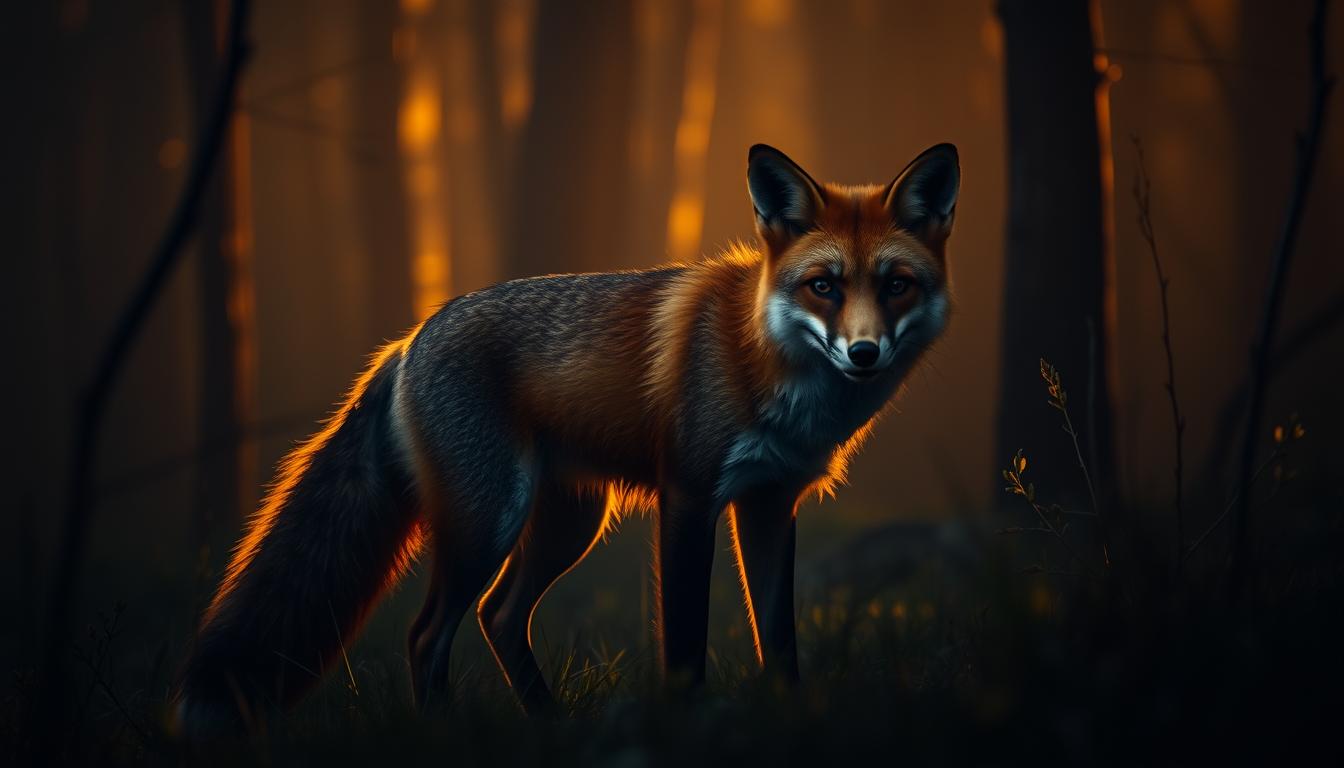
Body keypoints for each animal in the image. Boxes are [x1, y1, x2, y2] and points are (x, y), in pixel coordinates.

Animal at [172, 142, 960, 735]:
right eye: (824, 285)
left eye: (895, 285)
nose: (864, 353)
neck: (760, 357)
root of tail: (407, 340)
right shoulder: (690, 497)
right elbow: (685, 643)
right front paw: (687, 725)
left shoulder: (770, 503)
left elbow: (781, 640)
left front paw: (789, 719)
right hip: (487, 522)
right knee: (427, 634)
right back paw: (445, 733)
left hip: (567, 524)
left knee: (497, 617)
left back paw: (547, 722)